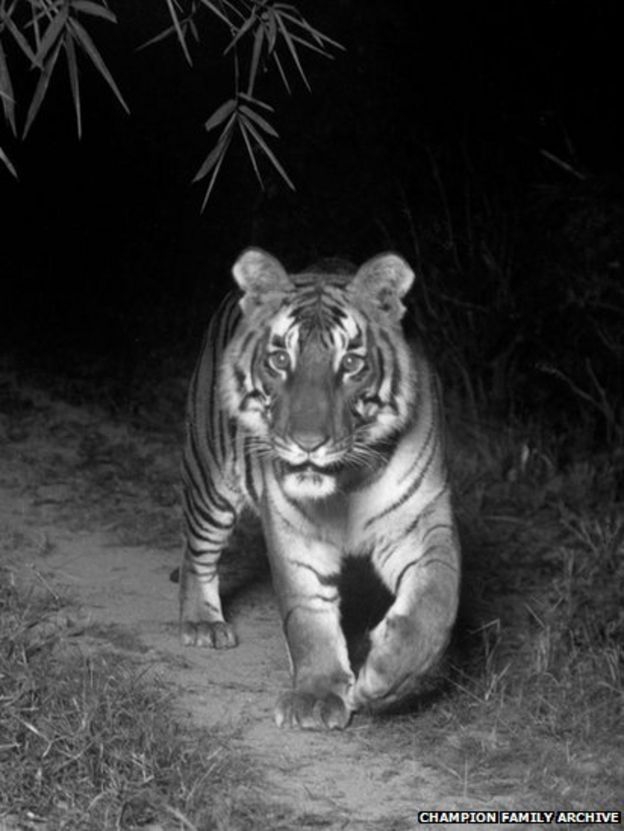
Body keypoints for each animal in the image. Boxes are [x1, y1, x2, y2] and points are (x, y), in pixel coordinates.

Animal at [179, 248, 460, 730]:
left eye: (350, 364)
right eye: (279, 360)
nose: (307, 442)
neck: (347, 480)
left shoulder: (420, 521)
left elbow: (436, 601)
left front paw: (384, 675)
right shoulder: (295, 531)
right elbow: (307, 613)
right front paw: (316, 697)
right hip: (210, 482)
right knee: (197, 552)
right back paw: (202, 623)